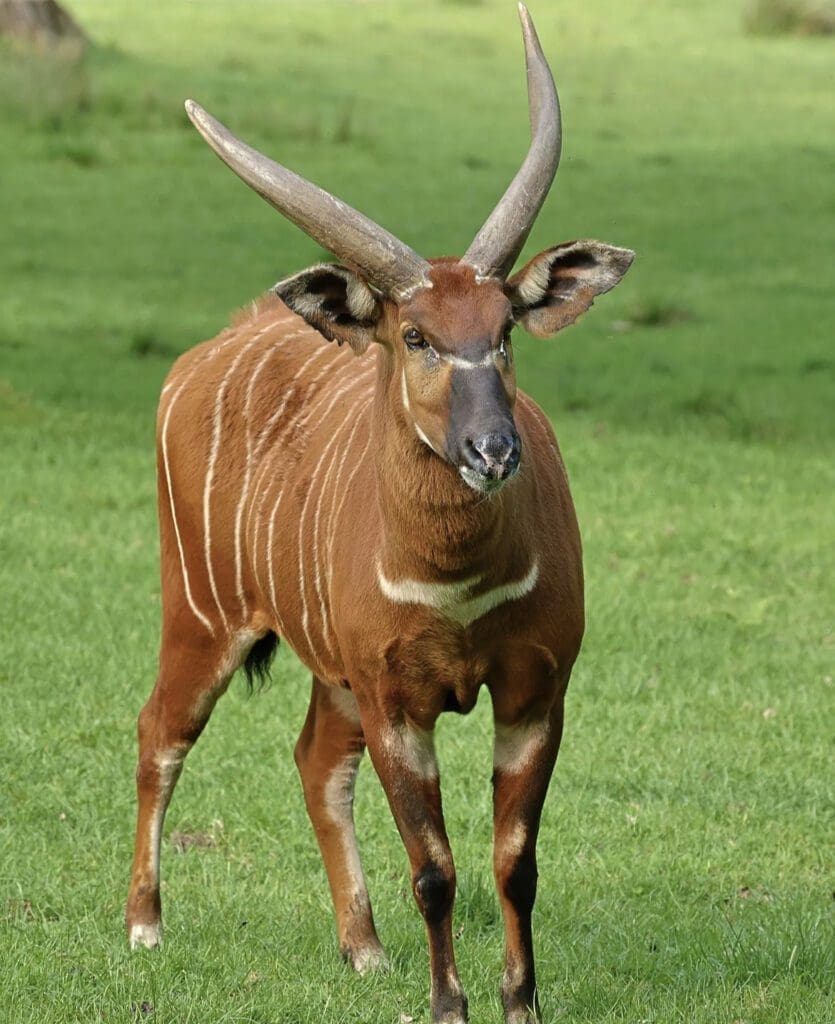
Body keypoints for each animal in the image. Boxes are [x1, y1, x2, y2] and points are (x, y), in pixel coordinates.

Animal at [125, 6, 633, 1022]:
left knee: (315, 759)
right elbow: (435, 870)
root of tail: (208, 352)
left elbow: (513, 864)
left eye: (504, 331)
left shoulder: (535, 692)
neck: (459, 581)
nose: (492, 450)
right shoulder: (399, 701)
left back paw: (361, 948)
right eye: (416, 335)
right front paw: (449, 1003)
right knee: (159, 734)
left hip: (332, 675)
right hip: (201, 619)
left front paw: (519, 1001)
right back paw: (144, 925)